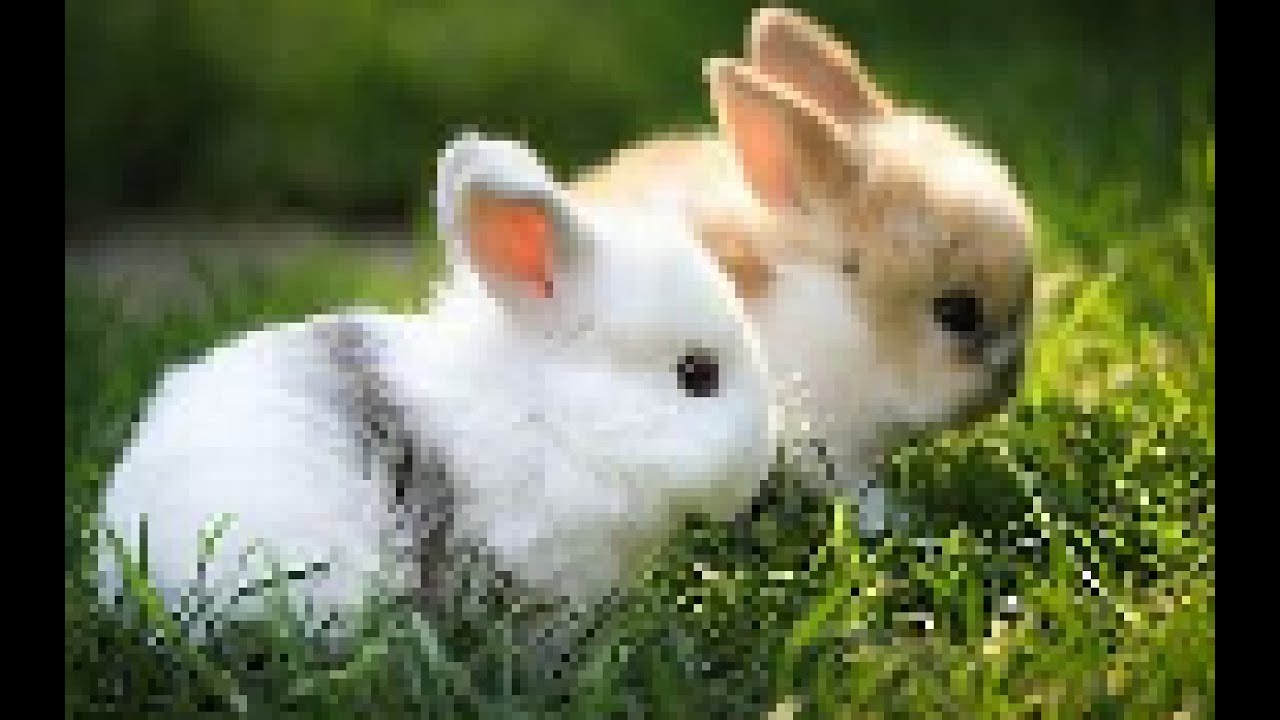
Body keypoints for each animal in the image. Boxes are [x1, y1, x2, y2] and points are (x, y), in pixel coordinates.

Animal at [573, 7, 1034, 535]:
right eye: (956, 311)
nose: (1006, 390)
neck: (845, 316)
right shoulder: (822, 438)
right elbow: (858, 491)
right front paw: (904, 525)